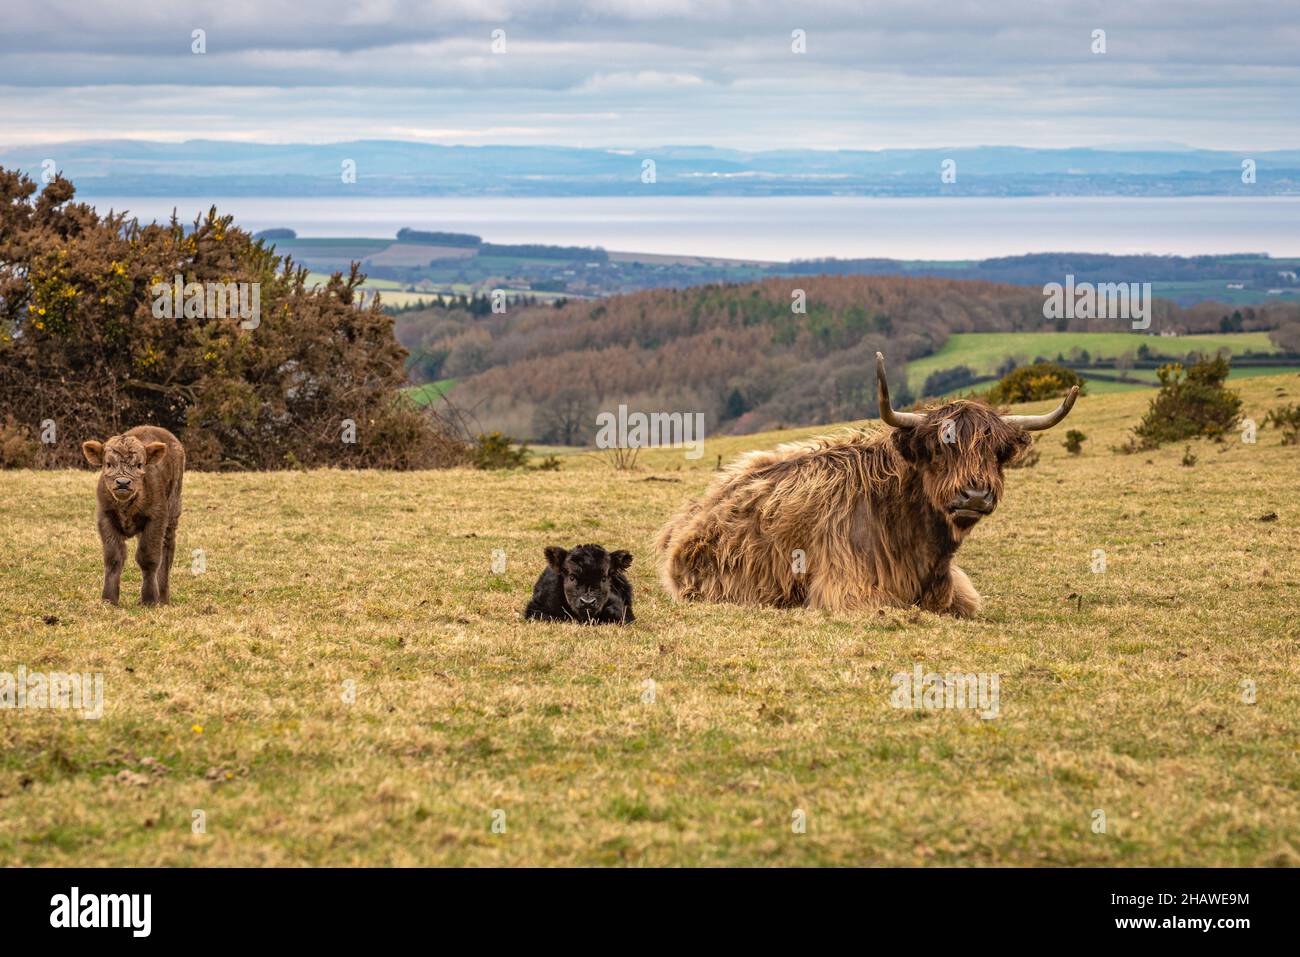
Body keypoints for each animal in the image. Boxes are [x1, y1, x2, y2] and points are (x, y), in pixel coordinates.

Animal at [81, 426, 186, 606]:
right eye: (108, 464)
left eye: (139, 464)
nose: (123, 483)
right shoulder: (105, 518)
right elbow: (113, 558)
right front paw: (109, 599)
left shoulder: (156, 519)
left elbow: (148, 558)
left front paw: (149, 599)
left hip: (172, 513)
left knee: (167, 550)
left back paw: (163, 598)